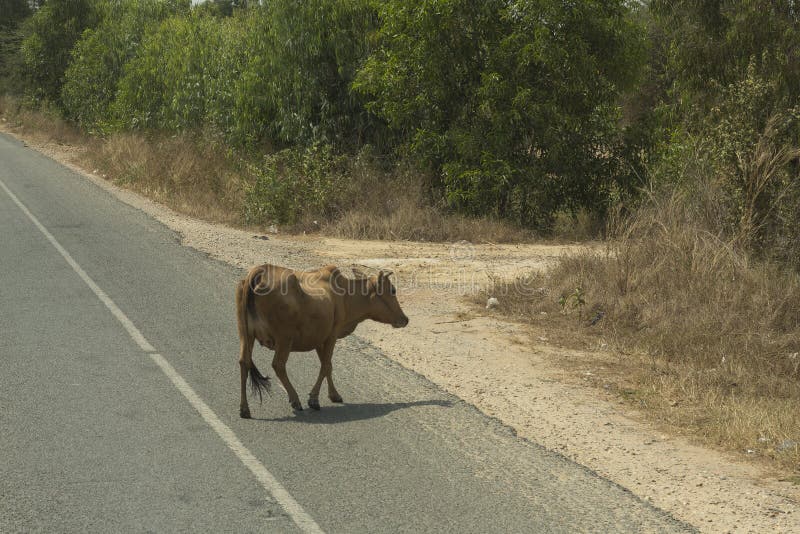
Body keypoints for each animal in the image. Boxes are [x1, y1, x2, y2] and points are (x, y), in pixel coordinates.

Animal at [235, 263, 409, 417]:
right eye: (392, 290)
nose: (405, 319)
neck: (346, 296)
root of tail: (258, 272)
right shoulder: (332, 335)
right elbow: (325, 365)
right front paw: (314, 399)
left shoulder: (320, 339)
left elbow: (328, 366)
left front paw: (334, 395)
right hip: (284, 339)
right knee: (278, 365)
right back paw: (295, 400)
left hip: (246, 334)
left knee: (244, 362)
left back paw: (244, 409)